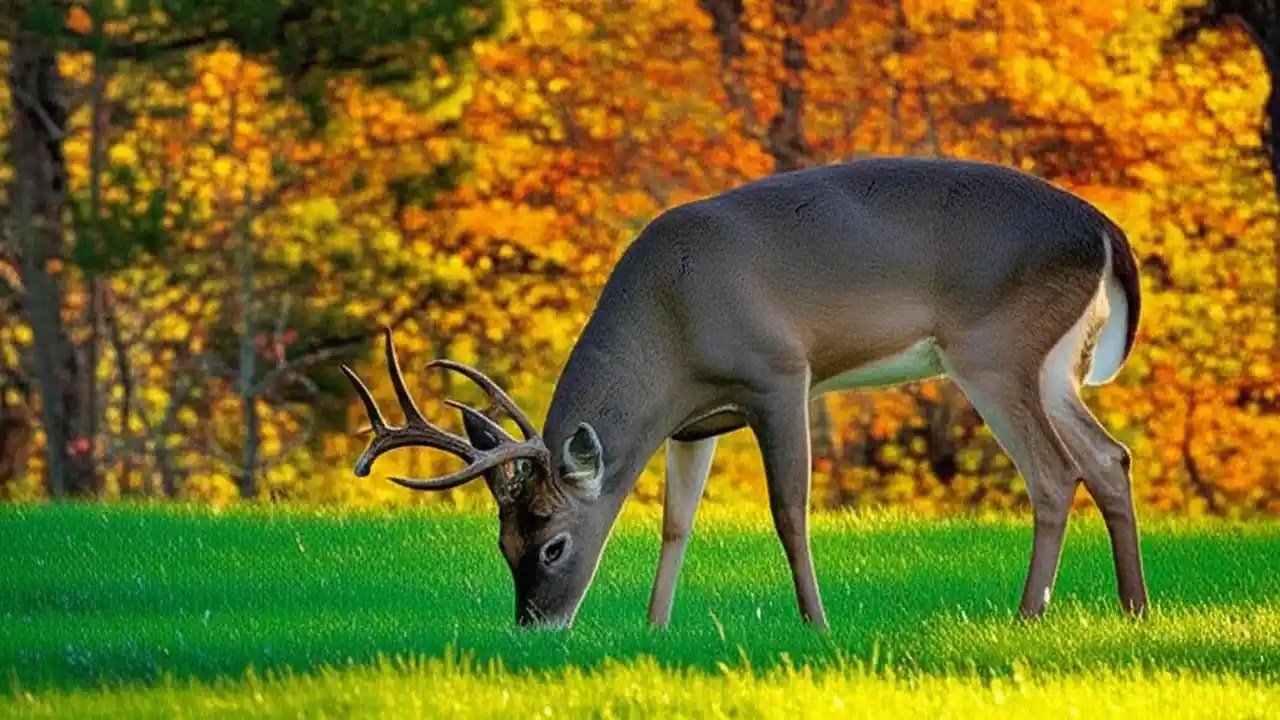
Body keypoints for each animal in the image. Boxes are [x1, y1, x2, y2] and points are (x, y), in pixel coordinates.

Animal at [342, 156, 1148, 631]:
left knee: (1055, 472)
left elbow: (789, 510)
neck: (671, 319)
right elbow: (676, 524)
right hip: (1053, 364)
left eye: (552, 542)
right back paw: (1134, 608)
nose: (534, 629)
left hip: (993, 349)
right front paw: (655, 628)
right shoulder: (691, 425)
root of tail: (1107, 232)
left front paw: (816, 624)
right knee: (1109, 456)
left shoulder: (779, 373)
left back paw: (1028, 616)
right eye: (503, 543)